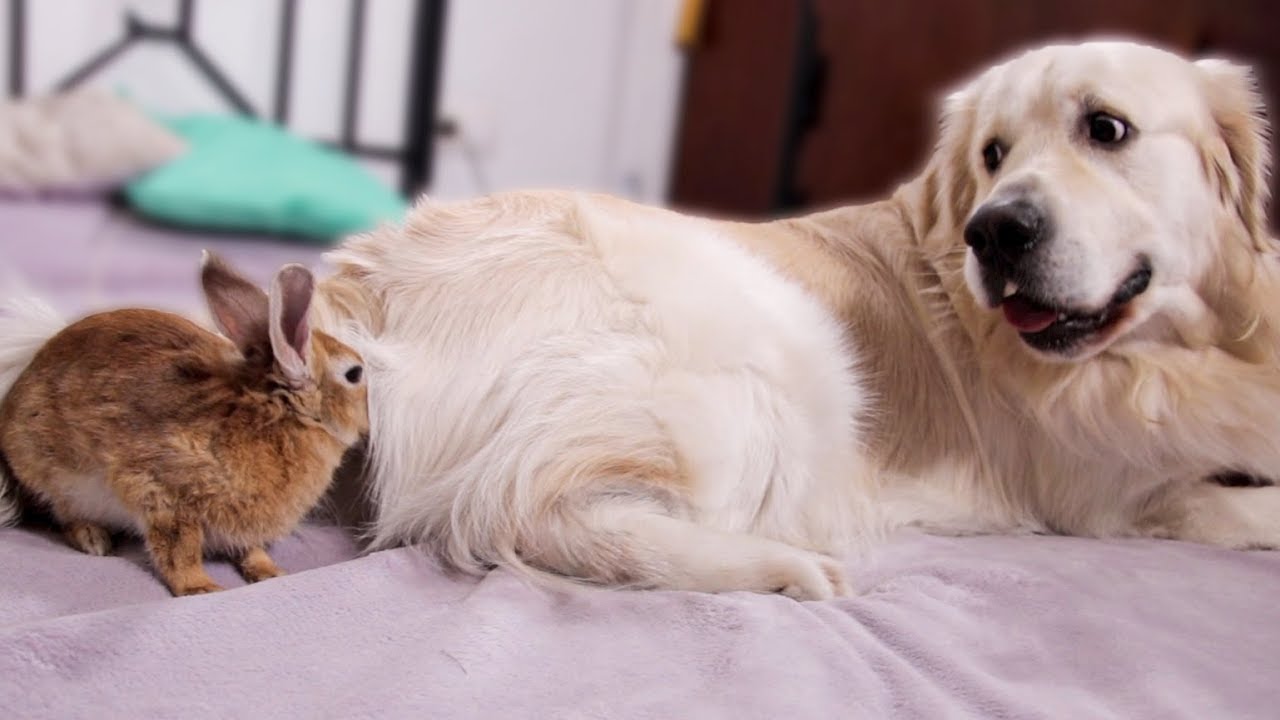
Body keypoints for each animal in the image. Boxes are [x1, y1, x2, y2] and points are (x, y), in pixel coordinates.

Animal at [0, 252, 369, 596]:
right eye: (354, 374)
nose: (369, 421)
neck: (272, 415)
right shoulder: (161, 493)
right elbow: (179, 551)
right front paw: (201, 588)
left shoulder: (243, 527)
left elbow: (250, 549)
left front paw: (270, 572)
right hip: (57, 479)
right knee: (63, 514)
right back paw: (94, 540)